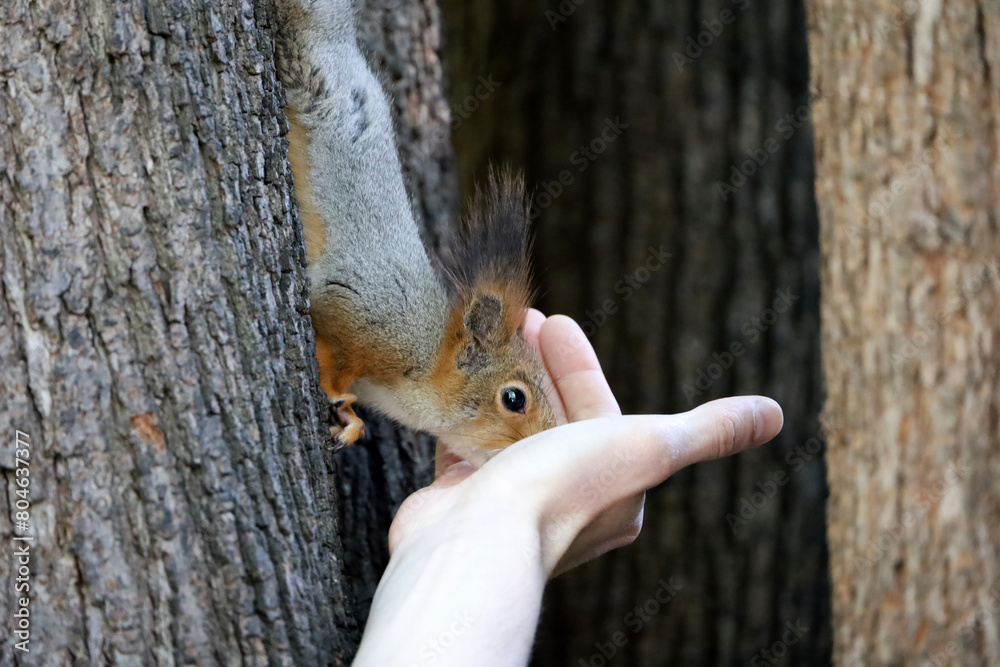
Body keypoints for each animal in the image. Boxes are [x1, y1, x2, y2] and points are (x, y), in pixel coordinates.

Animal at [274, 0, 556, 464]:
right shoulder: (364, 315)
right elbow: (335, 342)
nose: (546, 438)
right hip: (308, 72)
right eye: (514, 398)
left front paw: (351, 422)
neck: (427, 356)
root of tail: (340, 44)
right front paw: (334, 391)